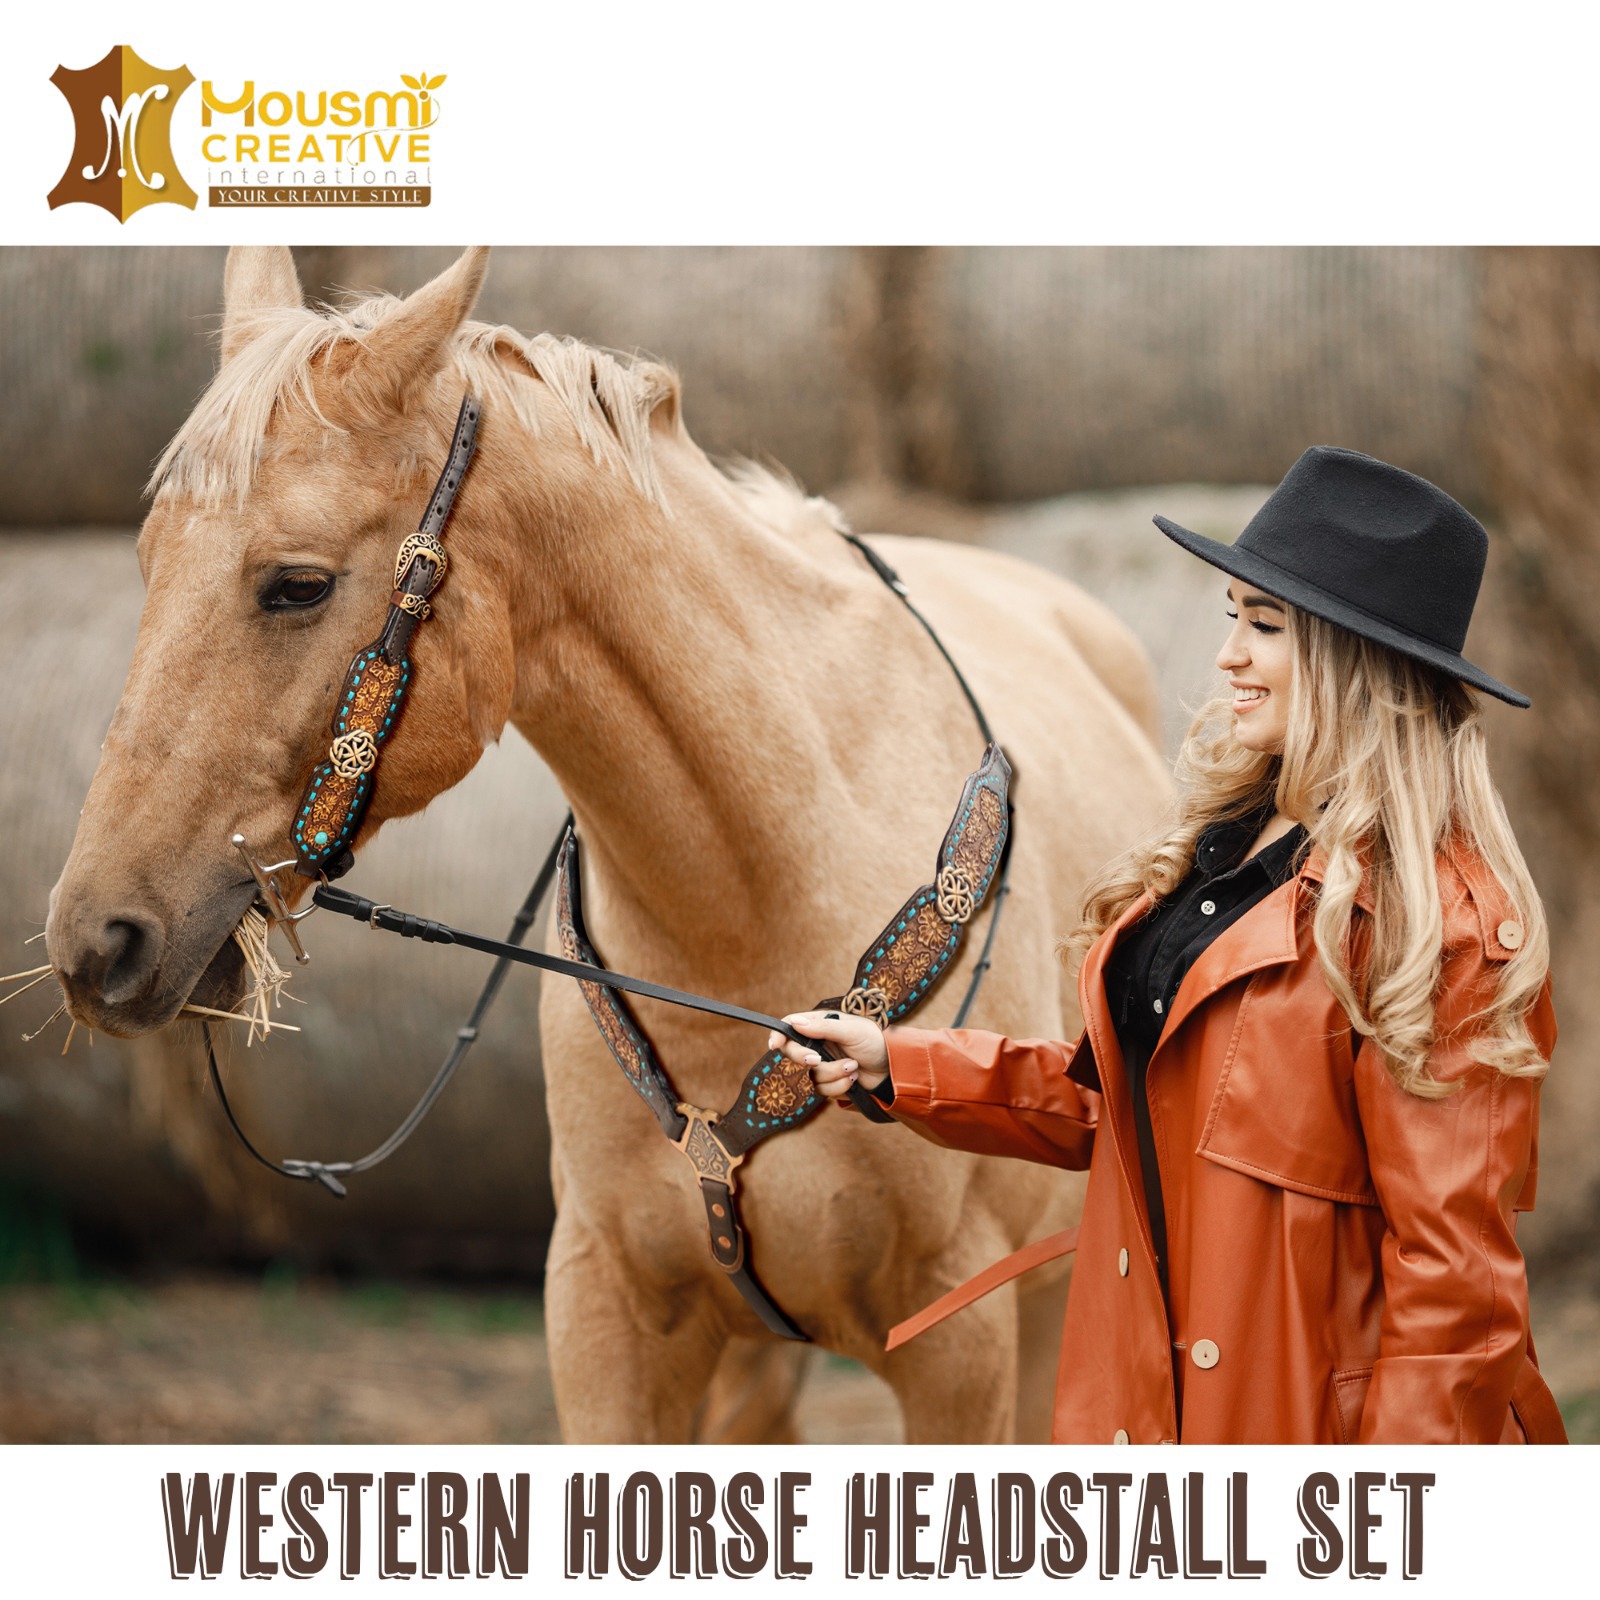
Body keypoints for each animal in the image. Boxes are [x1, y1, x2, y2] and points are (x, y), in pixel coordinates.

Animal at [45, 245, 1171, 1443]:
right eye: (148, 559)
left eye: (296, 585)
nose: (97, 939)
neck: (753, 905)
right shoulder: (606, 1317)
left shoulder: (961, 1346)